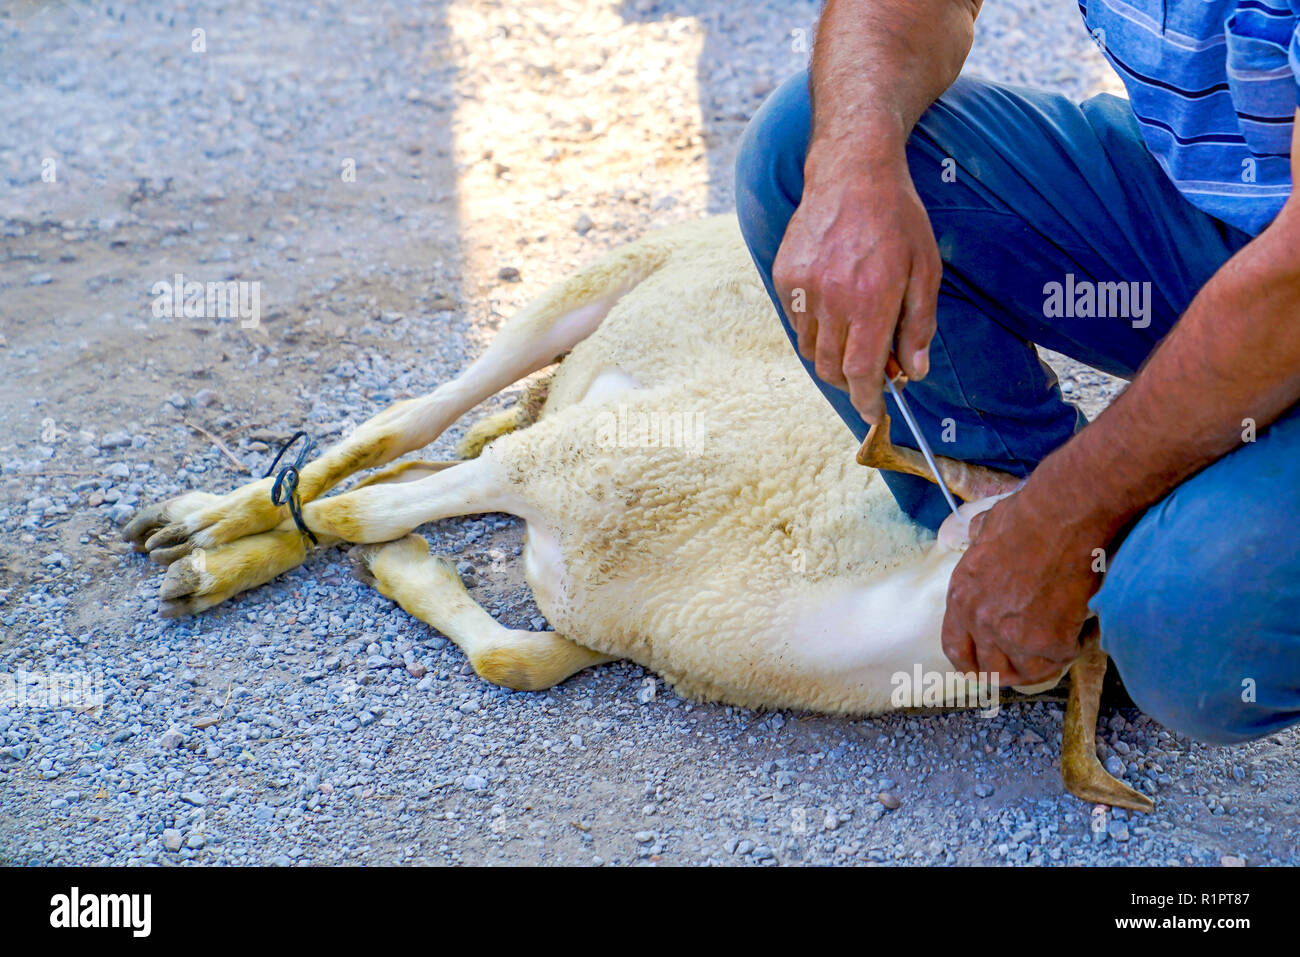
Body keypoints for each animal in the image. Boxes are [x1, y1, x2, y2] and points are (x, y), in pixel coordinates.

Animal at [122, 214, 1151, 812]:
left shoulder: (614, 624)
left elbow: (515, 658)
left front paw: (401, 567)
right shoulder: (557, 463)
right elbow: (360, 515)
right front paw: (323, 547)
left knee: (428, 445)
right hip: (588, 296)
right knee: (405, 426)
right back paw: (199, 535)